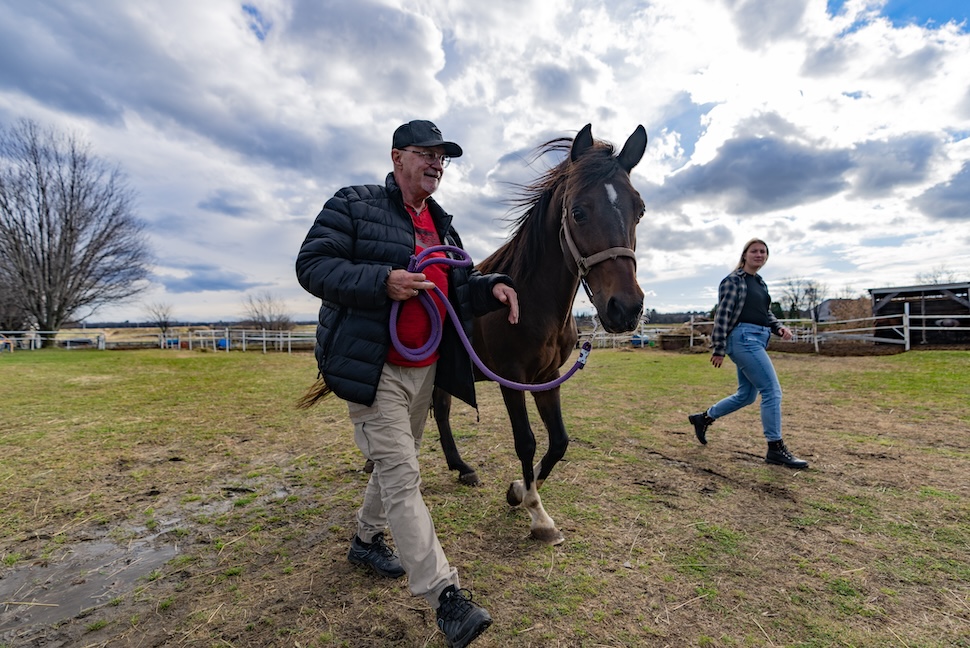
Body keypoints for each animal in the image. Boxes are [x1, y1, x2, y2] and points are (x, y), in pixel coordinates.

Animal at [432, 123, 647, 545]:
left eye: (640, 210)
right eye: (578, 211)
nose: (626, 309)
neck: (528, 297)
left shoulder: (548, 378)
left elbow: (559, 441)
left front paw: (518, 491)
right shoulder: (511, 379)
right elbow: (527, 440)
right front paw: (537, 515)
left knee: (441, 410)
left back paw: (461, 467)